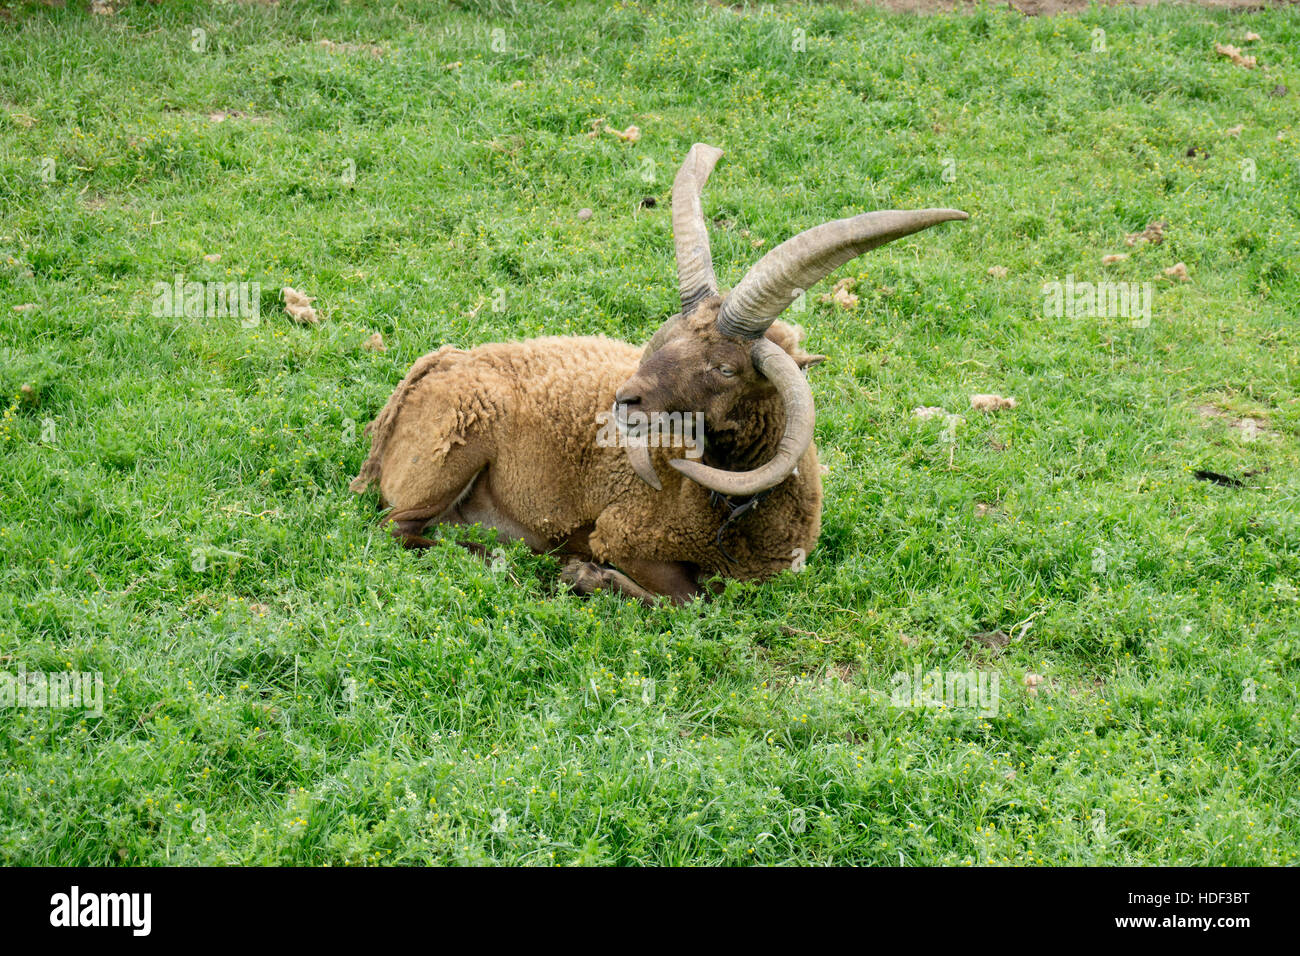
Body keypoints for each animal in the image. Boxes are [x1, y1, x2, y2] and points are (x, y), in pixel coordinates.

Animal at [349, 143, 967, 603]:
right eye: (663, 340)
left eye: (725, 367)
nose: (624, 403)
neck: (732, 512)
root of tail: (435, 367)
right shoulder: (622, 536)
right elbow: (687, 599)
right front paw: (584, 575)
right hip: (447, 462)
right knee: (400, 530)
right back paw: (513, 559)